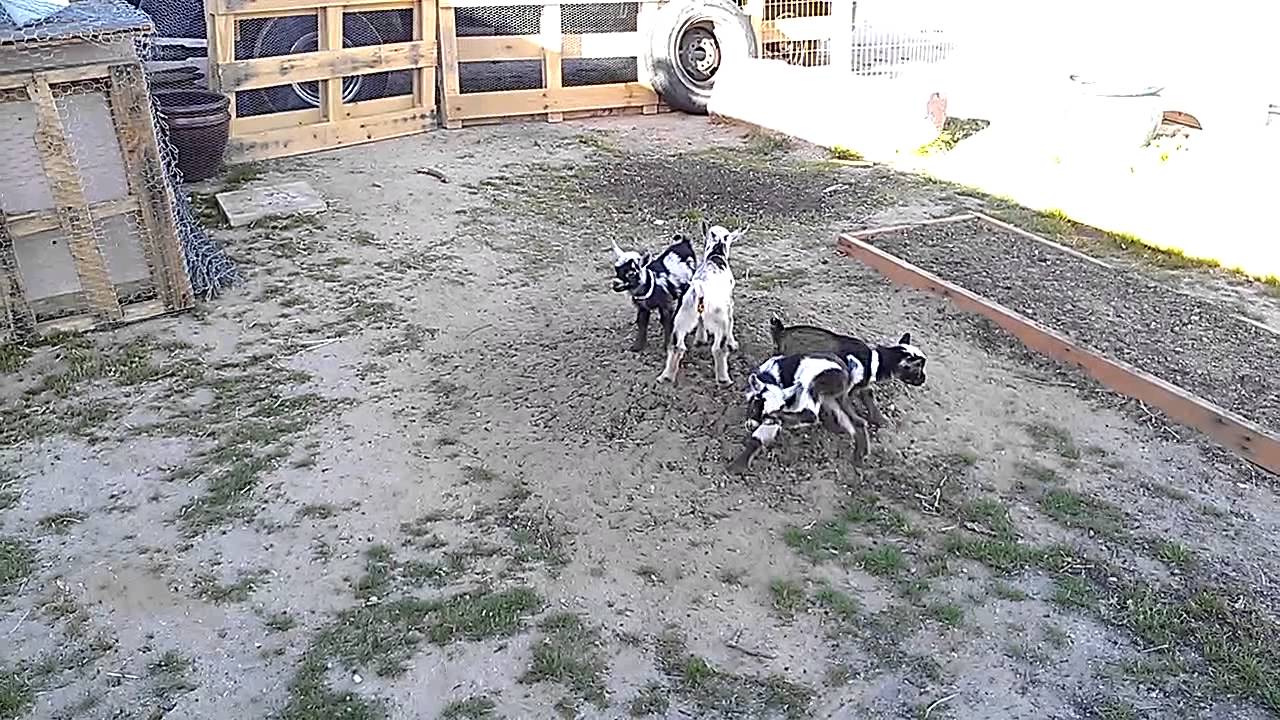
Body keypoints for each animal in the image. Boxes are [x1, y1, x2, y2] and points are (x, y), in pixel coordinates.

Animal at [657, 220, 745, 385]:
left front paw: (700, 339)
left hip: (682, 316)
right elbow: (731, 323)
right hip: (719, 320)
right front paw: (733, 344)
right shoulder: (729, 306)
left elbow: (701, 323)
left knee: (677, 346)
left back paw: (667, 376)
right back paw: (724, 379)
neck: (715, 257)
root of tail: (700, 288)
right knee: (718, 349)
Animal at [728, 351, 870, 473]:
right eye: (754, 407)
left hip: (820, 380)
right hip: (834, 397)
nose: (751, 425)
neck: (773, 379)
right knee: (854, 420)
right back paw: (859, 456)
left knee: (811, 413)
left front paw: (737, 466)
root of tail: (848, 373)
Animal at [769, 315, 927, 427]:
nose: (924, 379)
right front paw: (854, 421)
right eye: (918, 370)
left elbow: (869, 396)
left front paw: (880, 420)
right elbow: (845, 405)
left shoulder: (862, 385)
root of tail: (782, 332)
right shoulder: (846, 387)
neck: (875, 360)